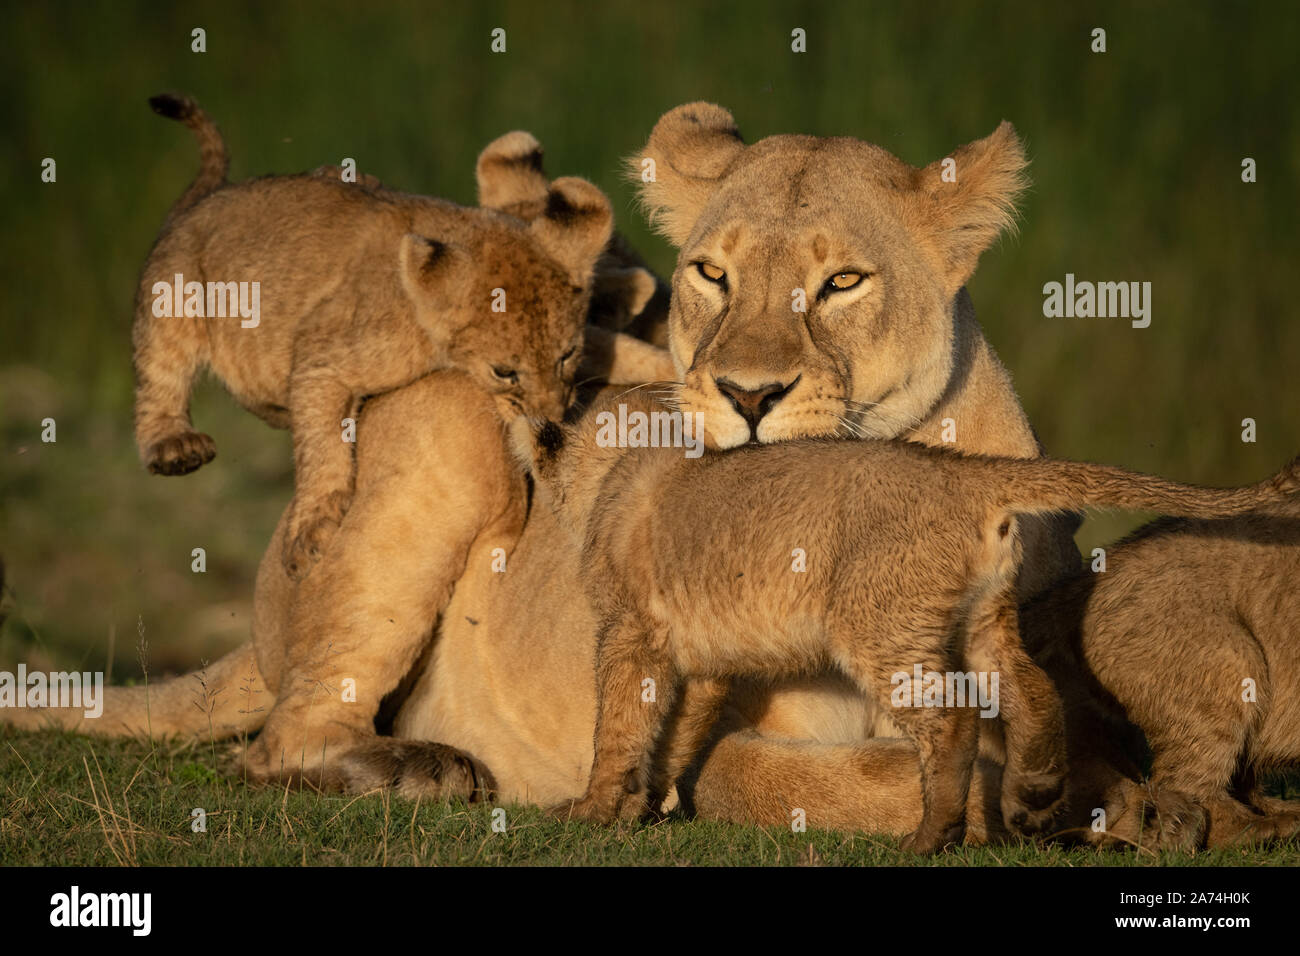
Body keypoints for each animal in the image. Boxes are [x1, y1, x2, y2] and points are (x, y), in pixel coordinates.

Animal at [133, 93, 614, 580]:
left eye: (567, 355)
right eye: (504, 372)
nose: (551, 418)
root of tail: (204, 198)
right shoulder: (324, 354)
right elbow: (322, 443)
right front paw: (310, 532)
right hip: (174, 297)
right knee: (160, 376)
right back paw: (174, 444)